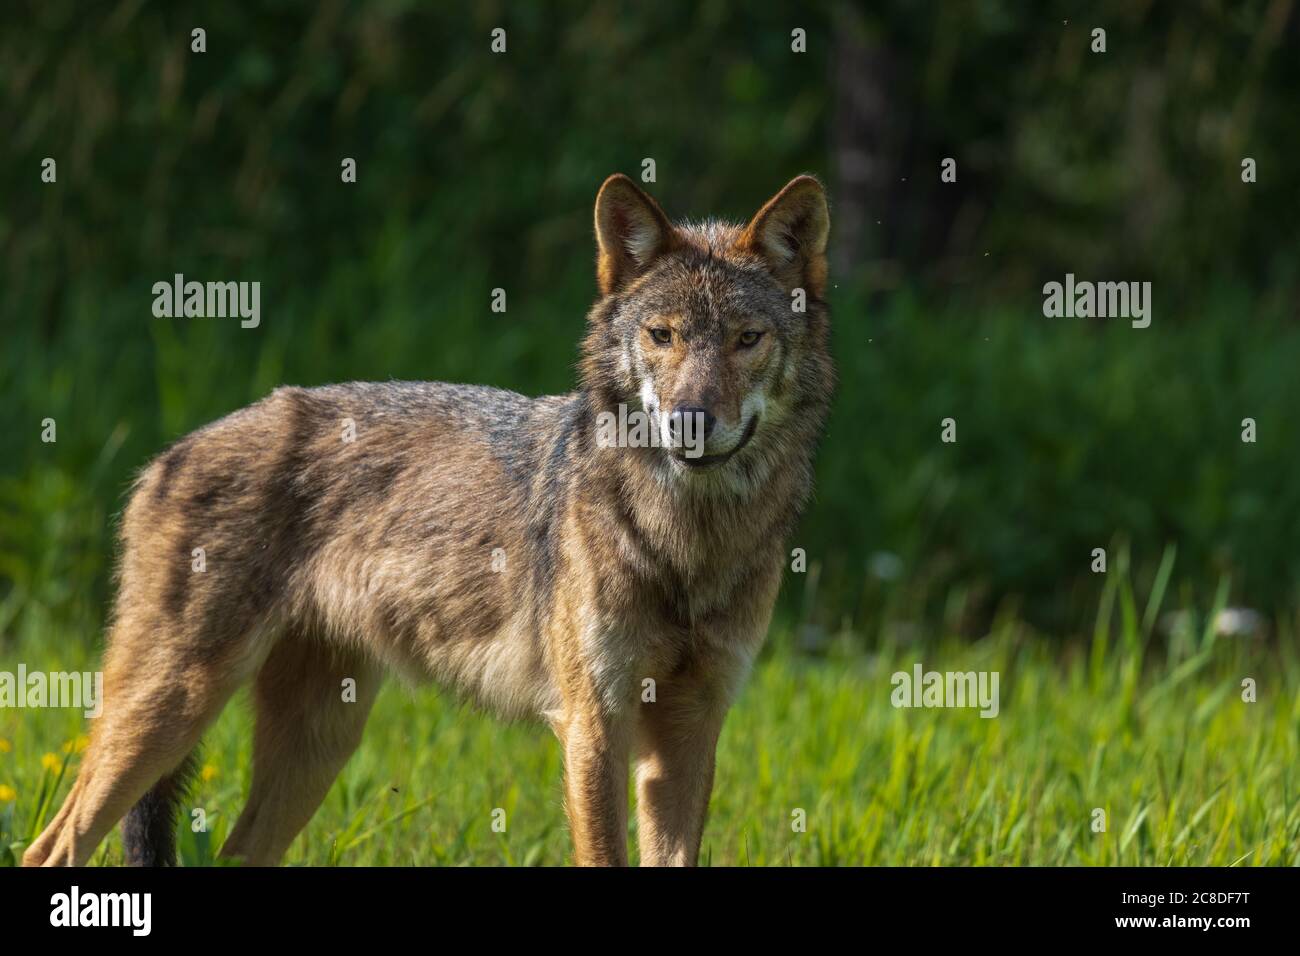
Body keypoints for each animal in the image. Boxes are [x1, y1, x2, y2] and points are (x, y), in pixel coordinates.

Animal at [24, 173, 833, 867]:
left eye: (747, 339)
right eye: (663, 336)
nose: (690, 423)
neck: (686, 542)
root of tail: (168, 453)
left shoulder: (689, 732)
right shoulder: (593, 724)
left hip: (318, 743)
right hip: (172, 709)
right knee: (50, 848)